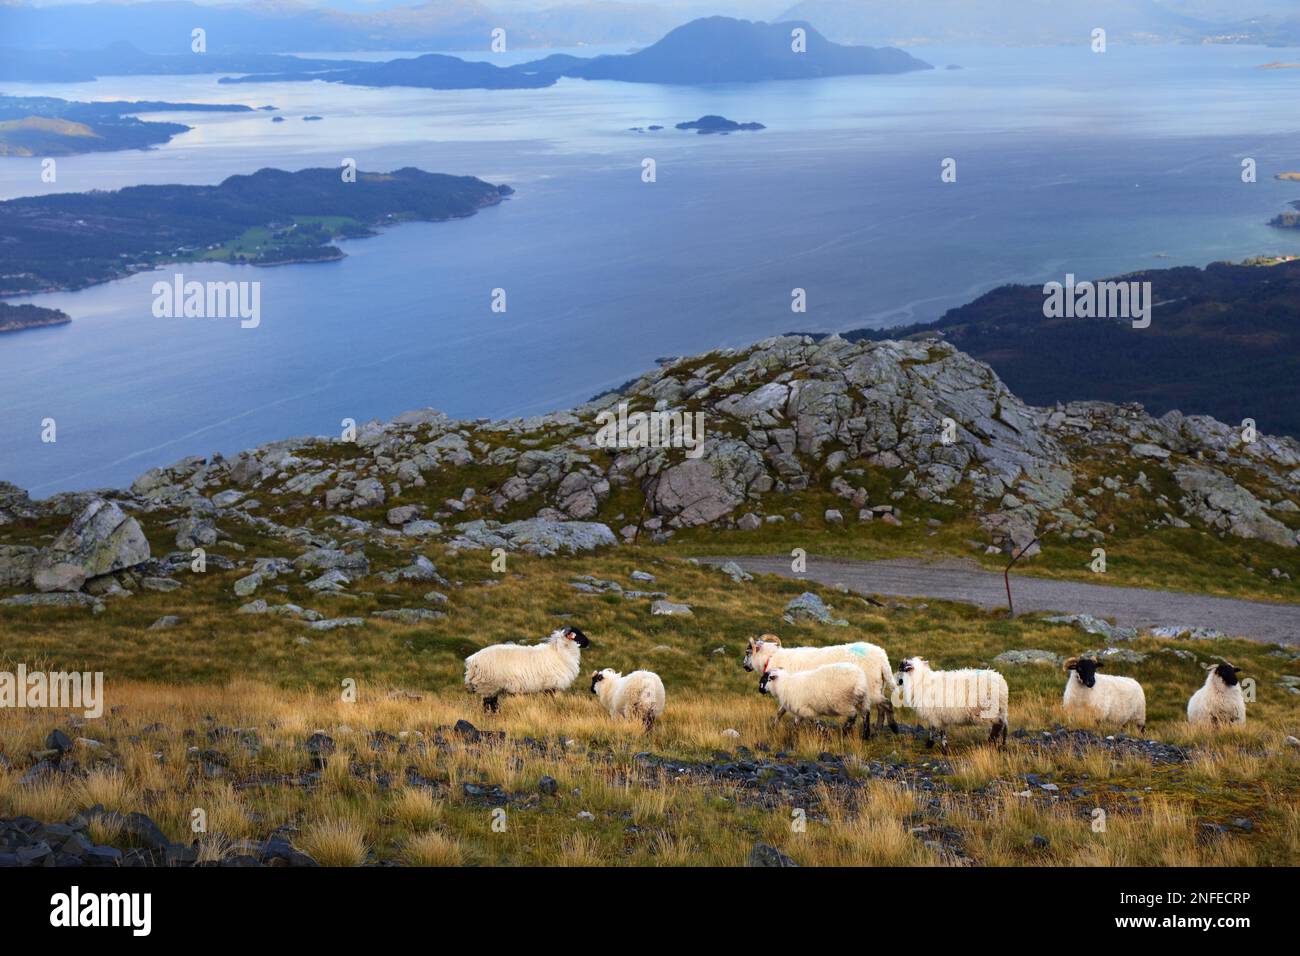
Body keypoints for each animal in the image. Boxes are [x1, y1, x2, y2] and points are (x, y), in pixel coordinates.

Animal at [744, 634, 897, 735]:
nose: (744, 666)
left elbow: (781, 711)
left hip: (870, 689)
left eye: (748, 651)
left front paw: (774, 726)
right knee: (881, 707)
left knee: (886, 704)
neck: (771, 658)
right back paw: (878, 728)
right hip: (878, 687)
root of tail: (883, 658)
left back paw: (892, 727)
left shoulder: (791, 690)